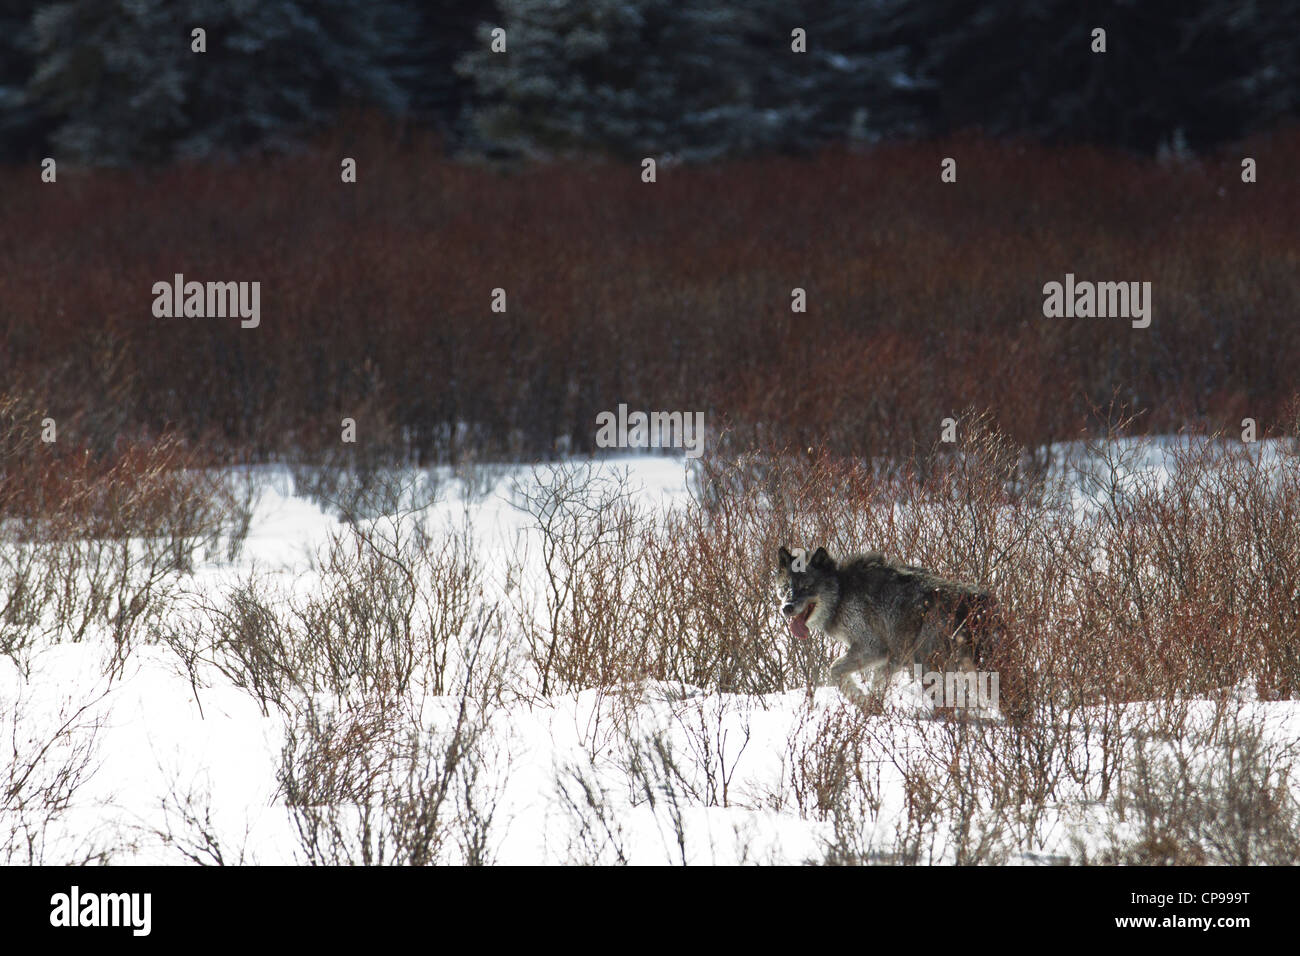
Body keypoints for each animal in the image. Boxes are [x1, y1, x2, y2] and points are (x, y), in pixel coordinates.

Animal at [777, 546, 1002, 705]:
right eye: (786, 588)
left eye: (806, 587)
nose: (787, 607)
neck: (841, 594)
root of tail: (983, 601)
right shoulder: (894, 656)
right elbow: (877, 677)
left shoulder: (874, 647)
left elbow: (835, 669)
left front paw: (862, 701)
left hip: (927, 663)